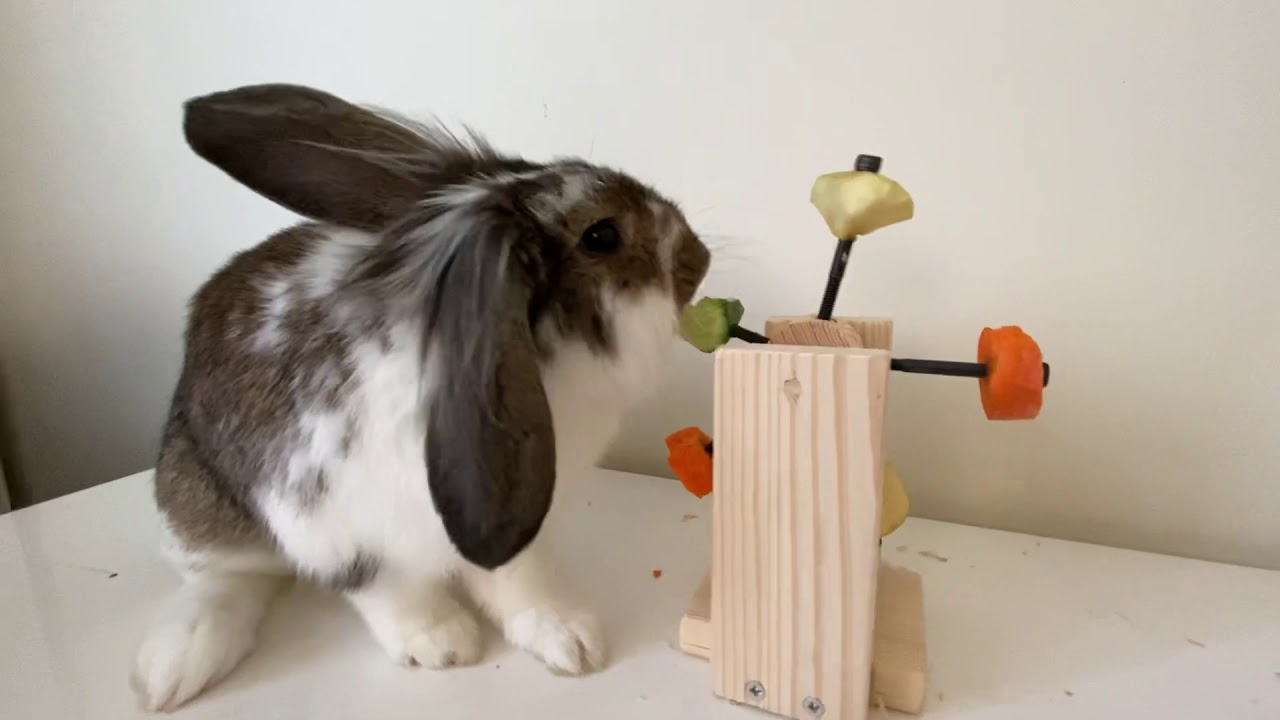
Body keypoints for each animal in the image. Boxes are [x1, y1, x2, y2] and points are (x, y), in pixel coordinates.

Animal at [130, 83, 711, 712]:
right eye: (601, 236)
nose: (699, 258)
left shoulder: (512, 515)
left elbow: (520, 579)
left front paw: (569, 640)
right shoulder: (329, 521)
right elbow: (385, 589)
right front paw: (442, 642)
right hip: (193, 496)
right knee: (222, 577)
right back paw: (171, 667)